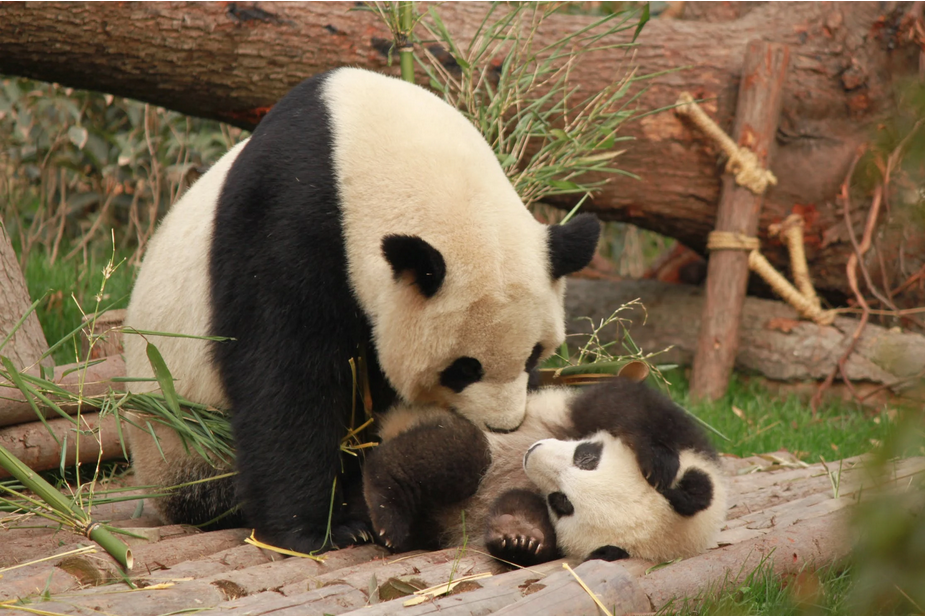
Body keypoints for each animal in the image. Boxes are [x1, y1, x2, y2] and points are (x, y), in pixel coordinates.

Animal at [122, 67, 602, 553]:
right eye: (464, 368)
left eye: (534, 355)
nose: (503, 426)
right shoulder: (286, 220)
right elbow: (285, 378)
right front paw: (314, 530)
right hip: (182, 438)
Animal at [363, 378, 727, 565]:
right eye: (587, 457)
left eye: (562, 502)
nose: (532, 453)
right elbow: (626, 402)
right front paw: (656, 460)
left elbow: (525, 512)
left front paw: (520, 537)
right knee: (459, 453)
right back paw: (386, 511)